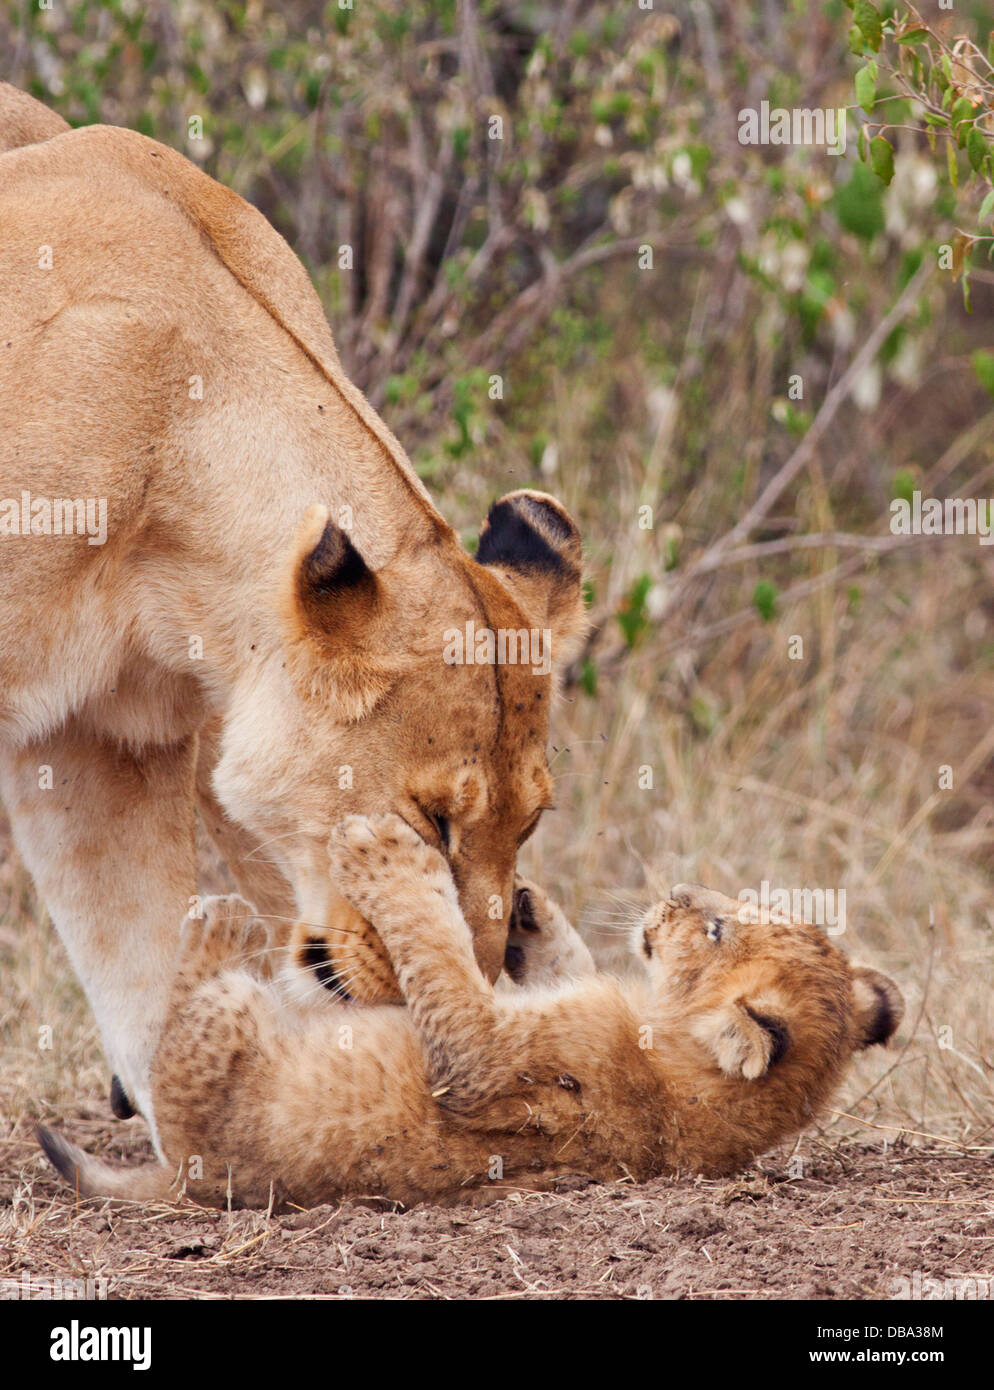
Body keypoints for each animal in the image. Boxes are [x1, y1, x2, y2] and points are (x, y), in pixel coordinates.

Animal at [38, 814, 904, 1209]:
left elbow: (440, 956)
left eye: (718, 930)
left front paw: (386, 852)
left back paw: (223, 922)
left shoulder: (488, 1056)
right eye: (741, 913)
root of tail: (186, 1178)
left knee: (180, 1023)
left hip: (227, 1029)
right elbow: (558, 964)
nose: (678, 892)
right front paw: (528, 909)